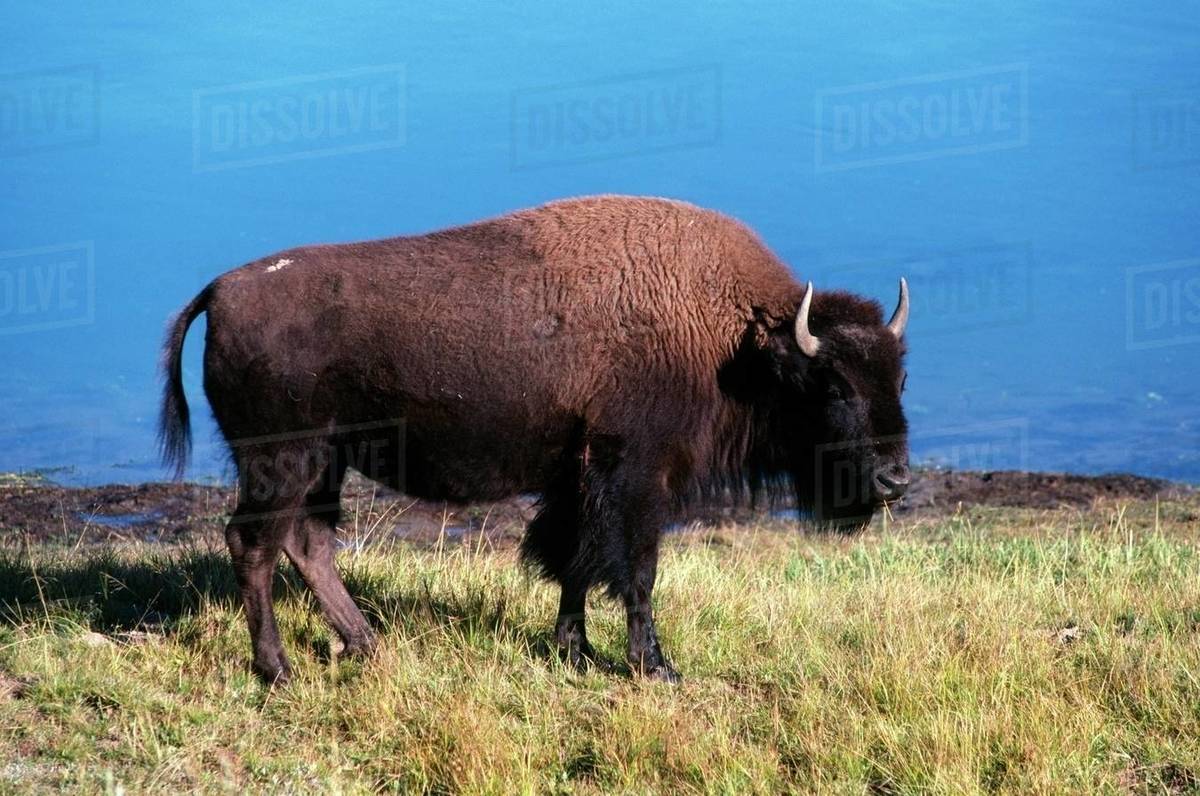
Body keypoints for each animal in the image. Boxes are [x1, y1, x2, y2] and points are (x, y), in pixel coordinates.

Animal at [160, 195, 910, 684]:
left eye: (899, 375)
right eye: (832, 386)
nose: (895, 479)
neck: (737, 341)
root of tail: (221, 291)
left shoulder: (579, 479)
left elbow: (573, 562)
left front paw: (574, 652)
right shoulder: (636, 475)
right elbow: (635, 569)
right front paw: (655, 667)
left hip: (323, 464)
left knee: (308, 542)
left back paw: (368, 647)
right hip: (283, 460)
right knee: (254, 546)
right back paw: (279, 670)